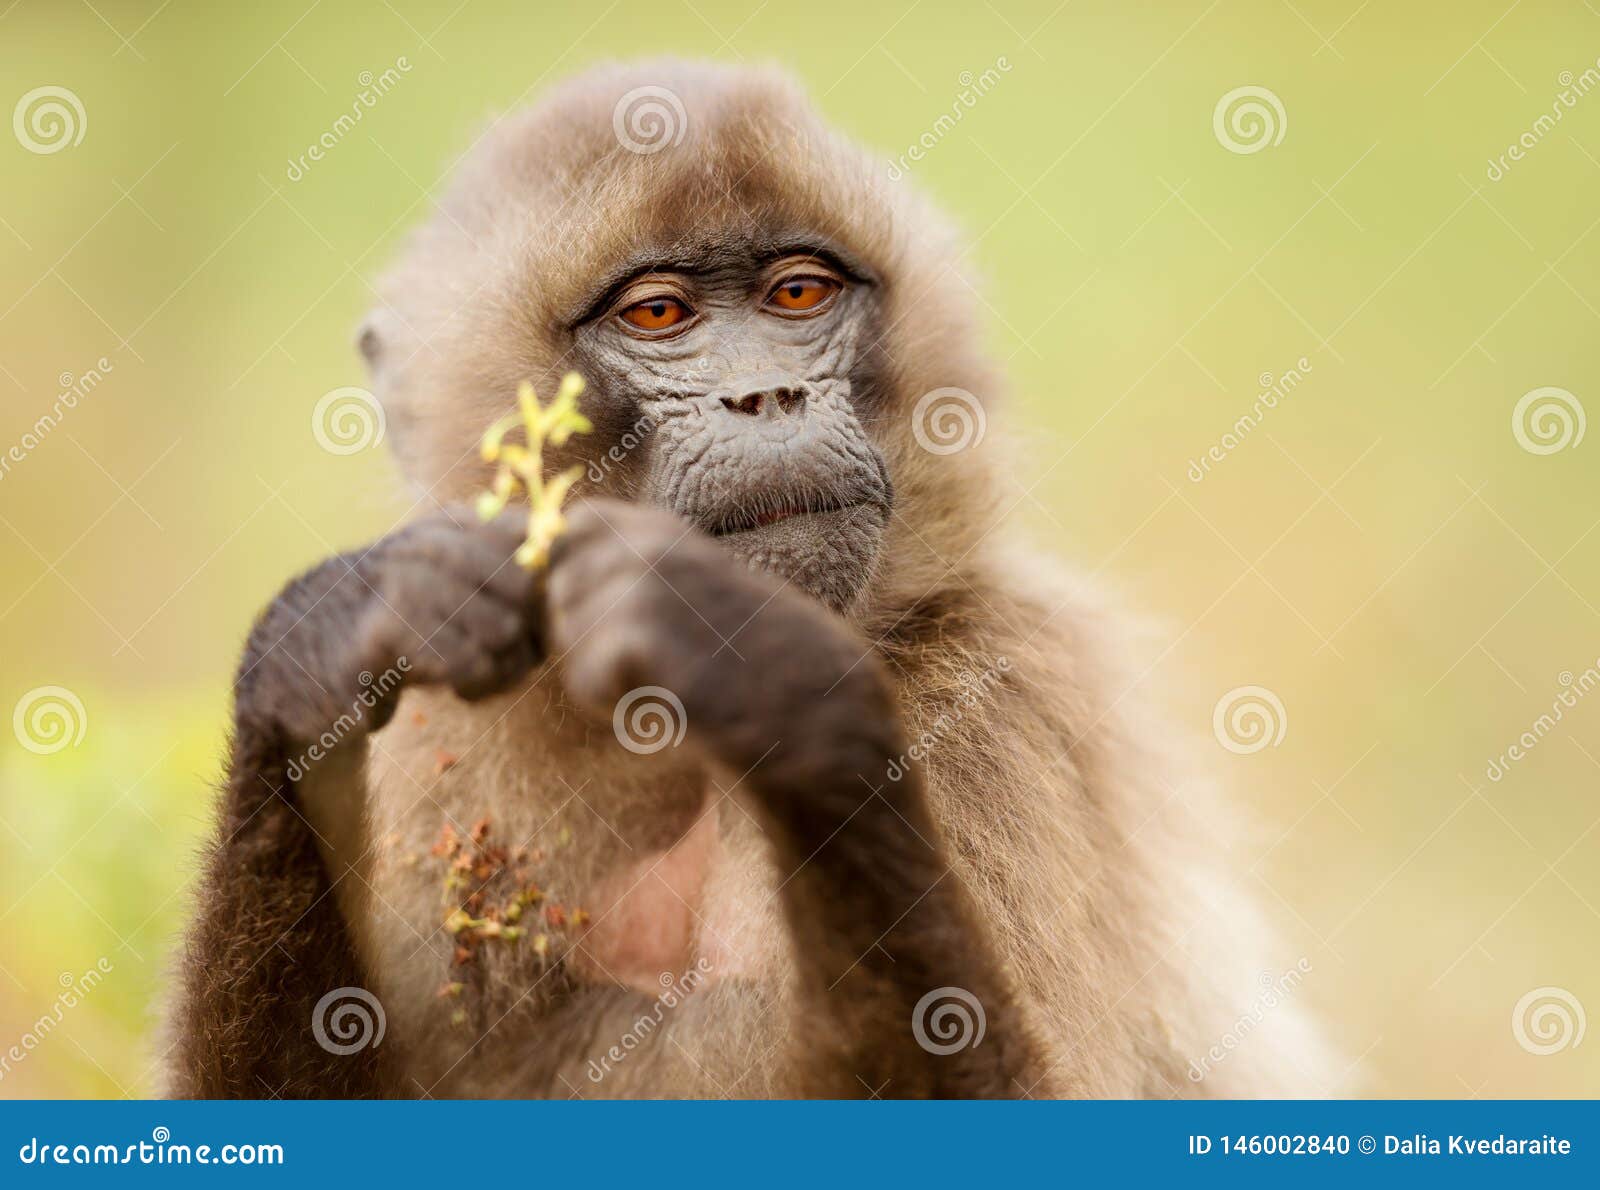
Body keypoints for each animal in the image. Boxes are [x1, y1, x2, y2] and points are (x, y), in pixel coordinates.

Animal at [166, 60, 1334, 1099]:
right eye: (658, 316)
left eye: (797, 294)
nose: (768, 395)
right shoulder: (446, 740)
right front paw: (316, 653)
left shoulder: (1002, 698)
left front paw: (767, 671)